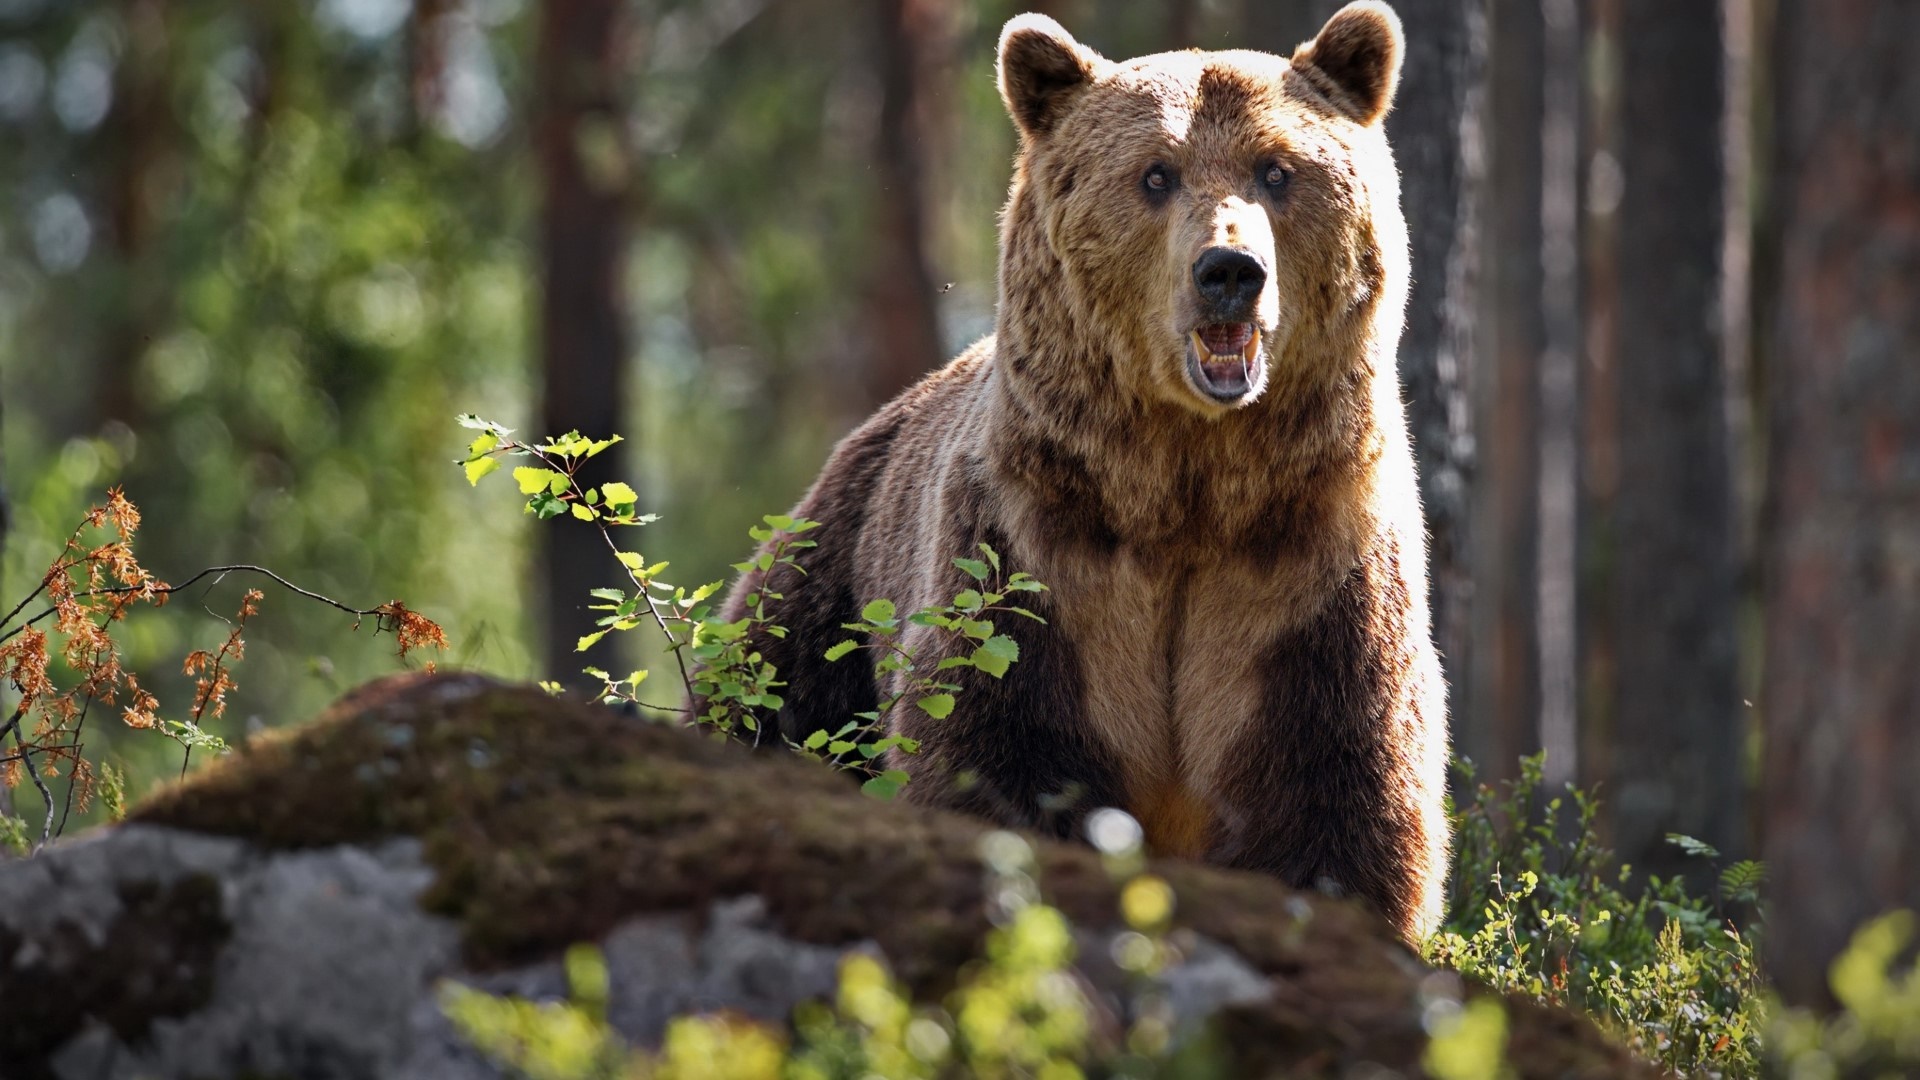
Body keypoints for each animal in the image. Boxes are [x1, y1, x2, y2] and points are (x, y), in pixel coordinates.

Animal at [713, 1, 1449, 942]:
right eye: (1156, 174)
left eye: (1278, 169)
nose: (1230, 271)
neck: (1189, 486)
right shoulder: (1041, 560)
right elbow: (996, 753)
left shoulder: (1304, 581)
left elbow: (1332, 799)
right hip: (827, 588)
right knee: (774, 701)